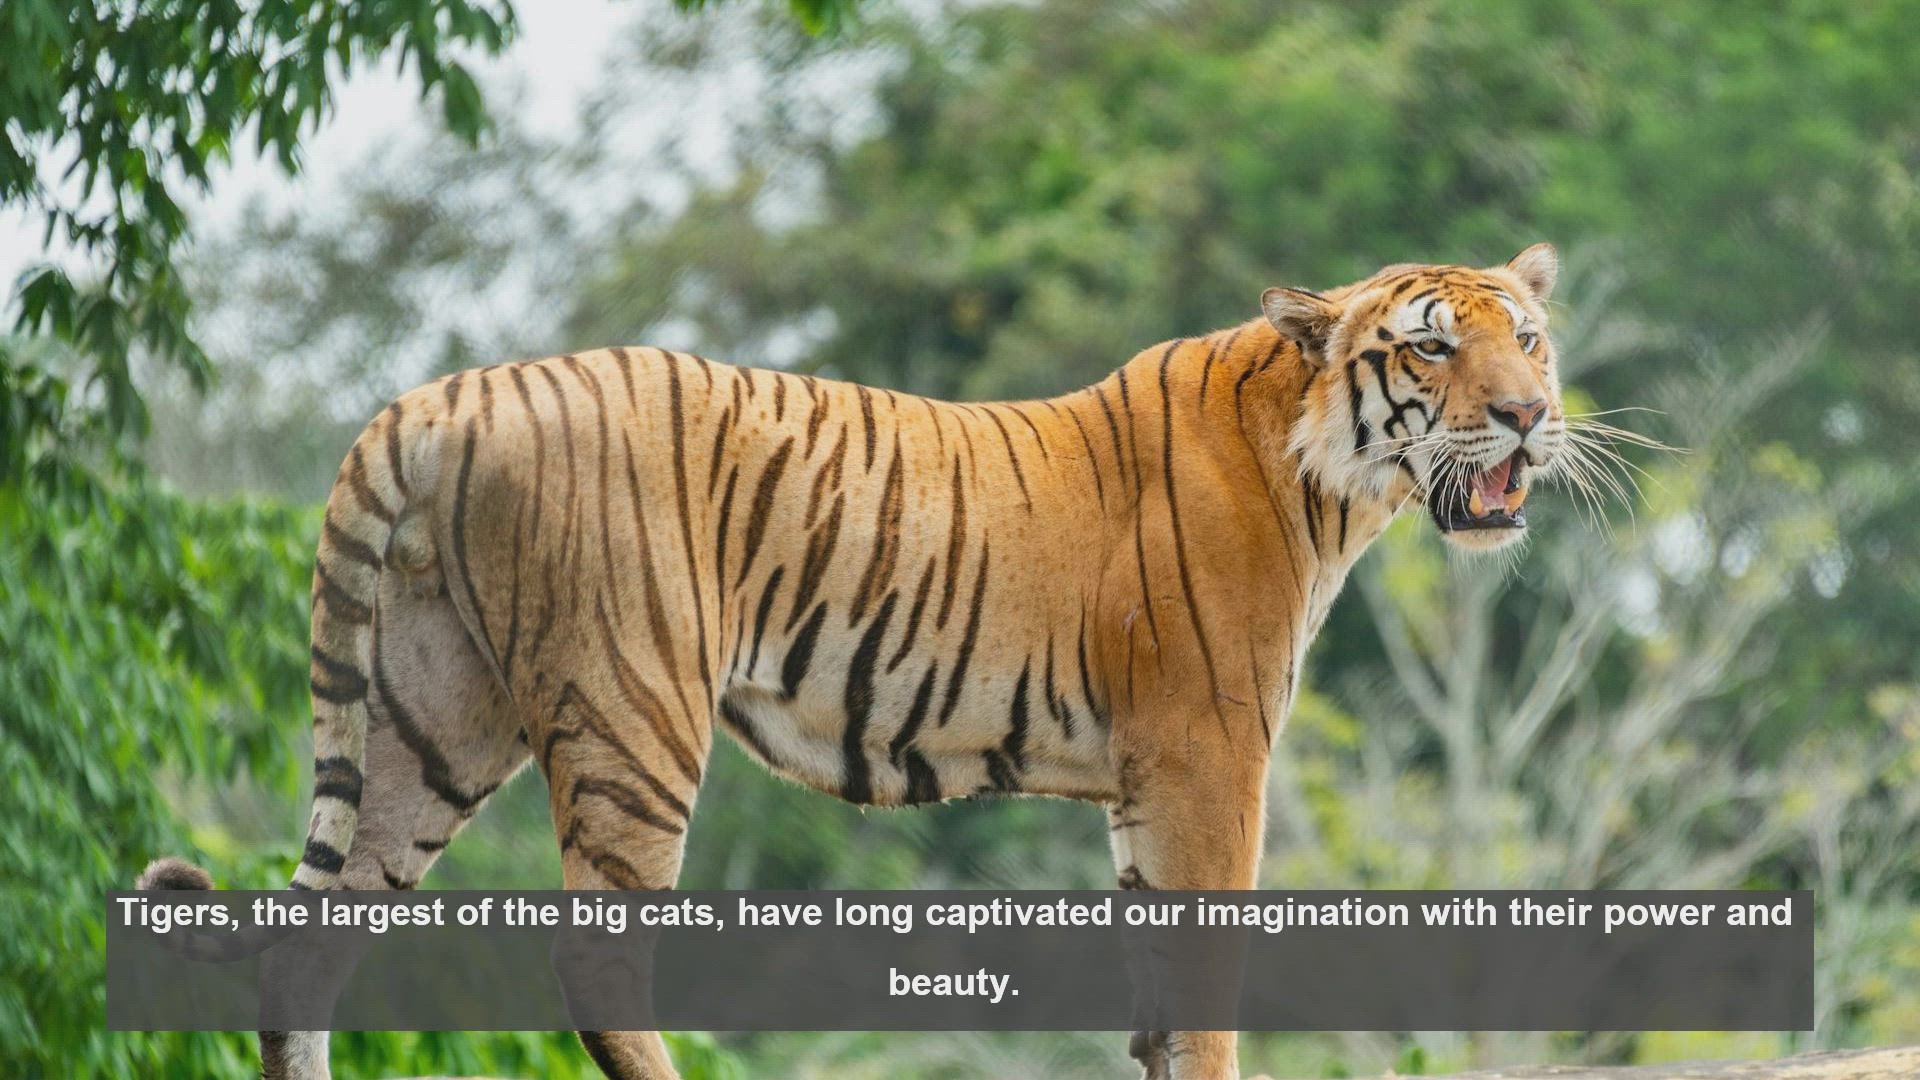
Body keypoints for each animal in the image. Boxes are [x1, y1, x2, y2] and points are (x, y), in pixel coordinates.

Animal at [137, 244, 1570, 1079]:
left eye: (1531, 338)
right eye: (1432, 344)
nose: (1531, 415)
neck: (1327, 476)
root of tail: (432, 397)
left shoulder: (1147, 788)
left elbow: (1157, 1012)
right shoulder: (1208, 756)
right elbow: (1205, 1002)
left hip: (434, 712)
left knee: (310, 943)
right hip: (629, 706)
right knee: (593, 968)